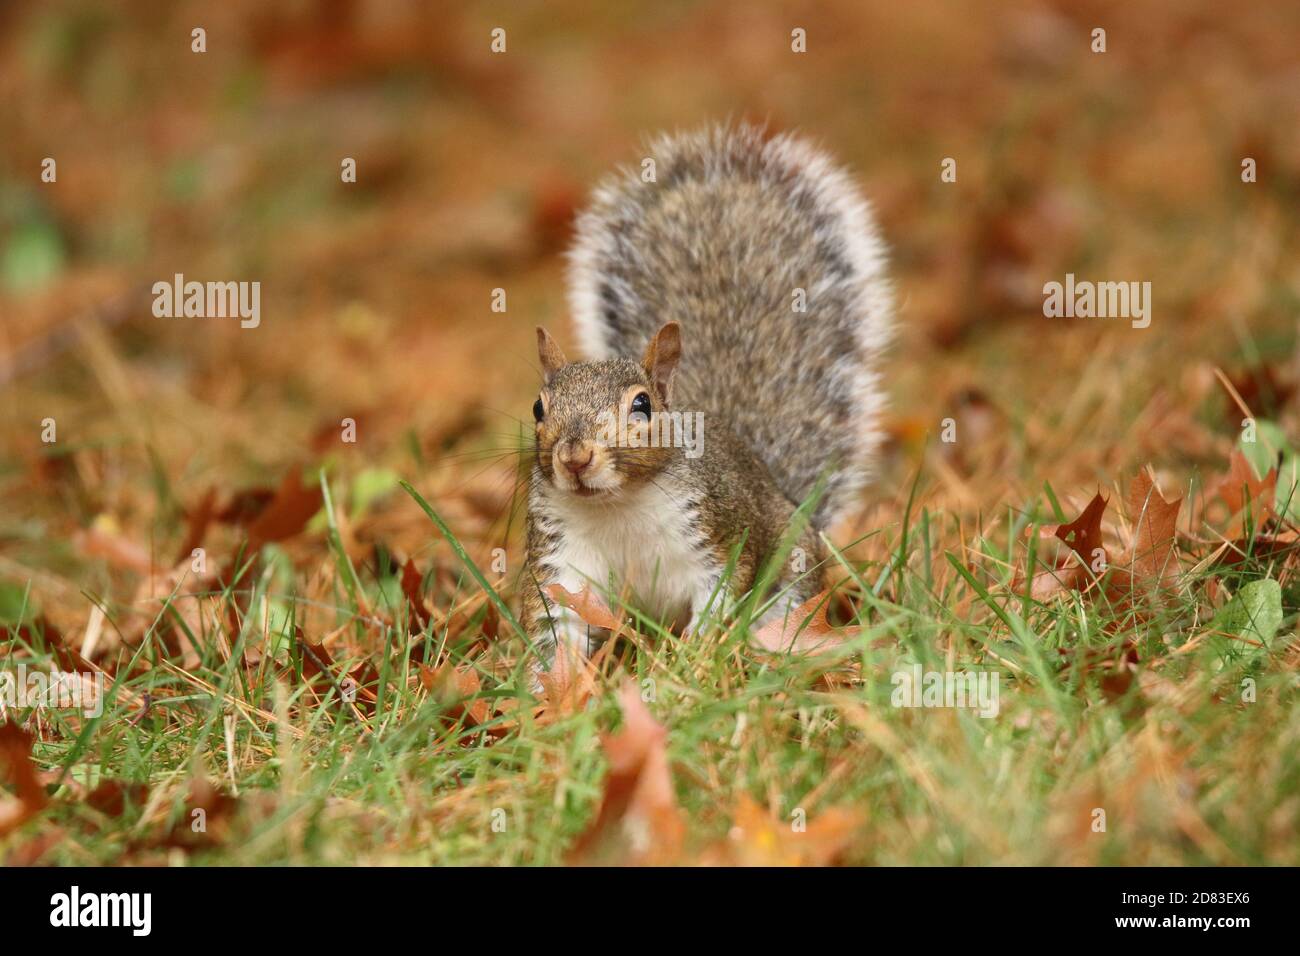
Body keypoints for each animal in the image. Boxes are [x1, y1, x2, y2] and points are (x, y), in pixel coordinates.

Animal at [521, 123, 892, 669]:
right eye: (538, 408)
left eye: (642, 406)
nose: (574, 457)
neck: (616, 506)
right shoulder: (562, 561)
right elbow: (557, 628)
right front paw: (555, 684)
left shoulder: (718, 537)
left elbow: (719, 593)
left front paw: (691, 660)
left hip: (792, 568)